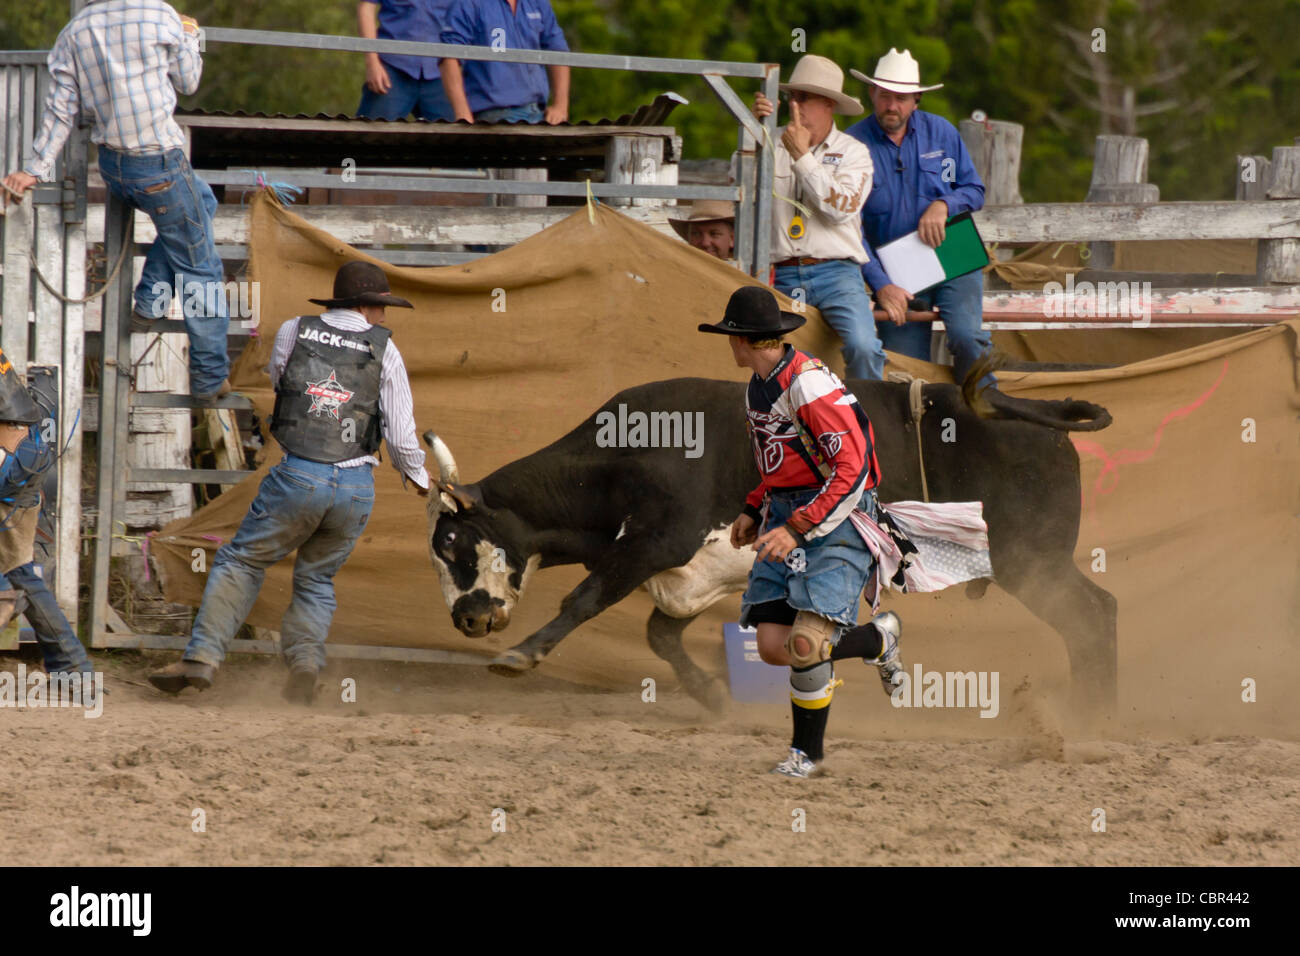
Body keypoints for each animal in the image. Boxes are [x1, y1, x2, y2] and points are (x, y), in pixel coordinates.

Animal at [422, 376, 1118, 721]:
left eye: (453, 541)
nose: (465, 618)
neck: (622, 459)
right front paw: (713, 696)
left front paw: (520, 655)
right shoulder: (696, 572)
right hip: (1036, 563)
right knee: (1095, 614)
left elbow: (585, 598)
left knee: (1095, 613)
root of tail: (1023, 407)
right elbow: (659, 634)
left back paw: (1092, 712)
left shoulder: (656, 542)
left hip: (1032, 561)